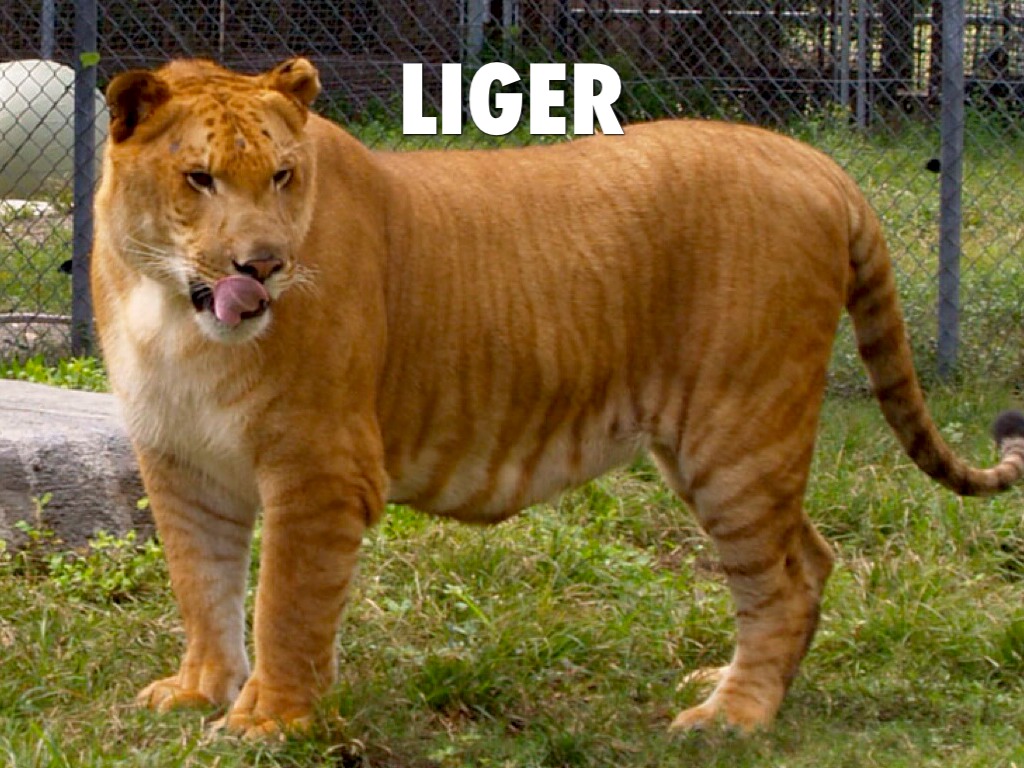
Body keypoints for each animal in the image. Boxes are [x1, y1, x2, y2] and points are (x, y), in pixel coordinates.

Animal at [90, 58, 1024, 739]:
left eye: (283, 177)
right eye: (200, 178)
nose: (264, 265)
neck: (171, 313)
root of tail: (818, 163)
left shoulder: (321, 467)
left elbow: (286, 602)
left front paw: (270, 725)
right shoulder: (177, 461)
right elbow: (202, 585)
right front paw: (201, 691)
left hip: (738, 430)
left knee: (786, 578)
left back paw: (731, 717)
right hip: (725, 443)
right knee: (815, 557)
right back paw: (736, 684)